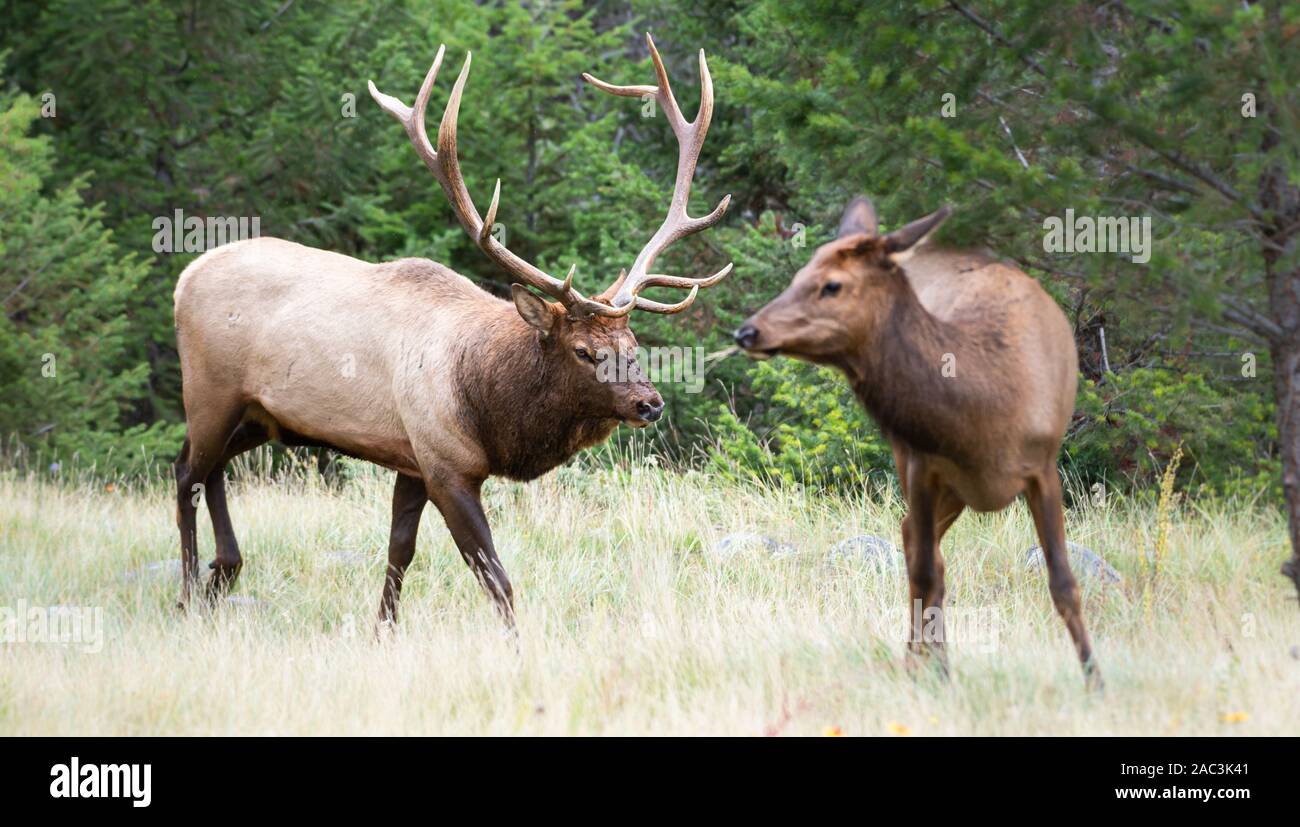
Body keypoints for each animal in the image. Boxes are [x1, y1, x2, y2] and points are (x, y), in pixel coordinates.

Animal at [170, 34, 731, 630]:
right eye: (583, 350)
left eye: (633, 344)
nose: (650, 403)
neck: (488, 403)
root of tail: (184, 279)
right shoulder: (446, 464)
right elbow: (495, 577)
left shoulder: (411, 460)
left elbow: (399, 551)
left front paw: (383, 631)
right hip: (210, 392)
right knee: (186, 472)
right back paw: (190, 590)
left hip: (260, 416)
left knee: (208, 470)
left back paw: (223, 570)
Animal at [734, 197, 1101, 688]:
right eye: (797, 275)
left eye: (832, 285)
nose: (747, 331)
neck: (989, 417)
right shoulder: (924, 465)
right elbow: (926, 573)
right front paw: (928, 668)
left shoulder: (1043, 467)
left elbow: (1063, 581)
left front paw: (1095, 680)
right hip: (916, 464)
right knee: (918, 548)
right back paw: (924, 661)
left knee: (917, 542)